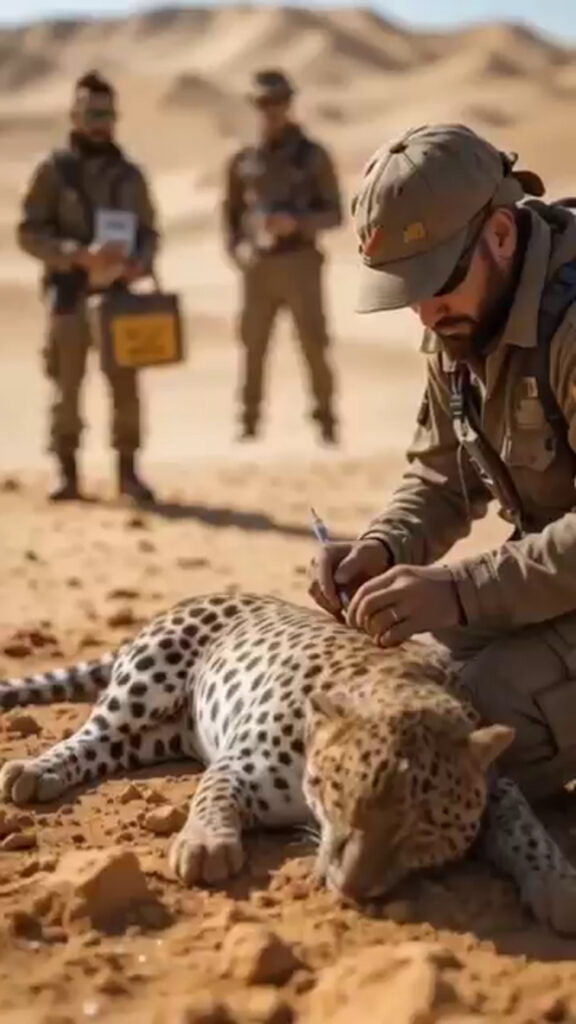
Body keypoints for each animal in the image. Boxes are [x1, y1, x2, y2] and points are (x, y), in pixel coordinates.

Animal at [1, 591, 576, 933]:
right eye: (342, 798)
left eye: (424, 827)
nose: (351, 887)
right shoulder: (237, 766)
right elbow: (211, 794)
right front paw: (205, 843)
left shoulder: (497, 784)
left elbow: (524, 826)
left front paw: (556, 883)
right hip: (144, 682)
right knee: (92, 732)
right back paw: (34, 771)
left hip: (156, 738)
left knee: (111, 748)